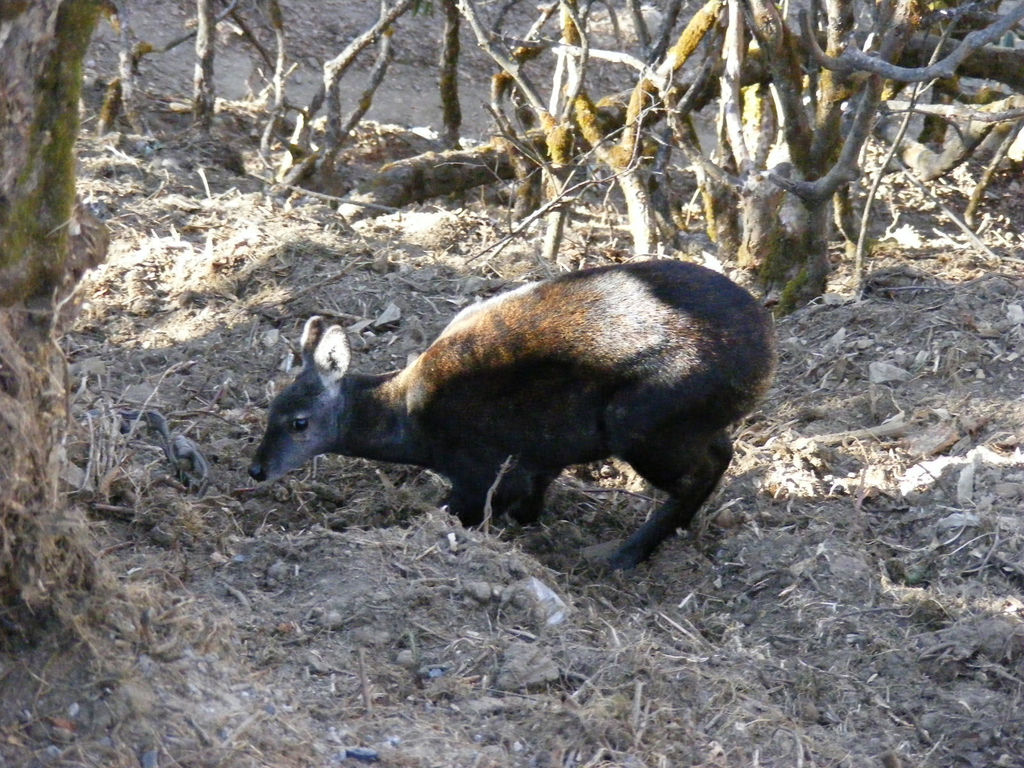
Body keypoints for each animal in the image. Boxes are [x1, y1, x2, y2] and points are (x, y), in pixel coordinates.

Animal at [248, 259, 776, 569]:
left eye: (299, 422)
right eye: (270, 409)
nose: (257, 469)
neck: (408, 419)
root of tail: (766, 346)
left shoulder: (481, 471)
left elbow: (455, 511)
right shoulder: (540, 460)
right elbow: (529, 509)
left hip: (641, 422)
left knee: (698, 472)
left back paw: (621, 555)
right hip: (681, 423)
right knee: (721, 451)